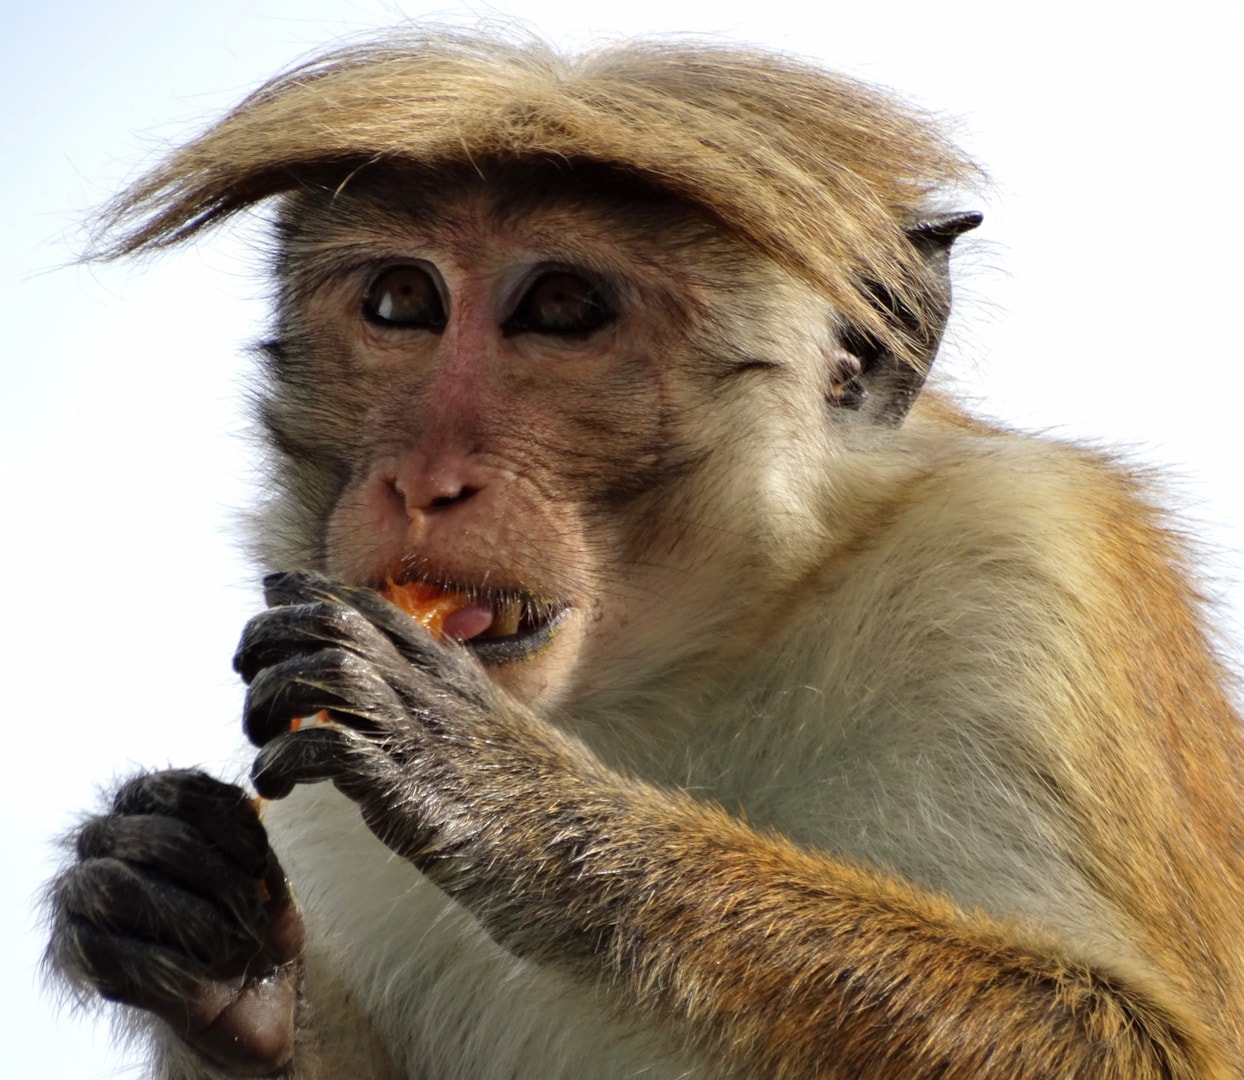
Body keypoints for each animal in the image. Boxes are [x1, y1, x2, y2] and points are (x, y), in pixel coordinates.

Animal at [43, 30, 1244, 1080]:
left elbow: (1137, 1043)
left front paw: (516, 806)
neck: (682, 670)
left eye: (562, 308)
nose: (422, 480)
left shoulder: (1024, 573)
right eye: (402, 301)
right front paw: (200, 927)